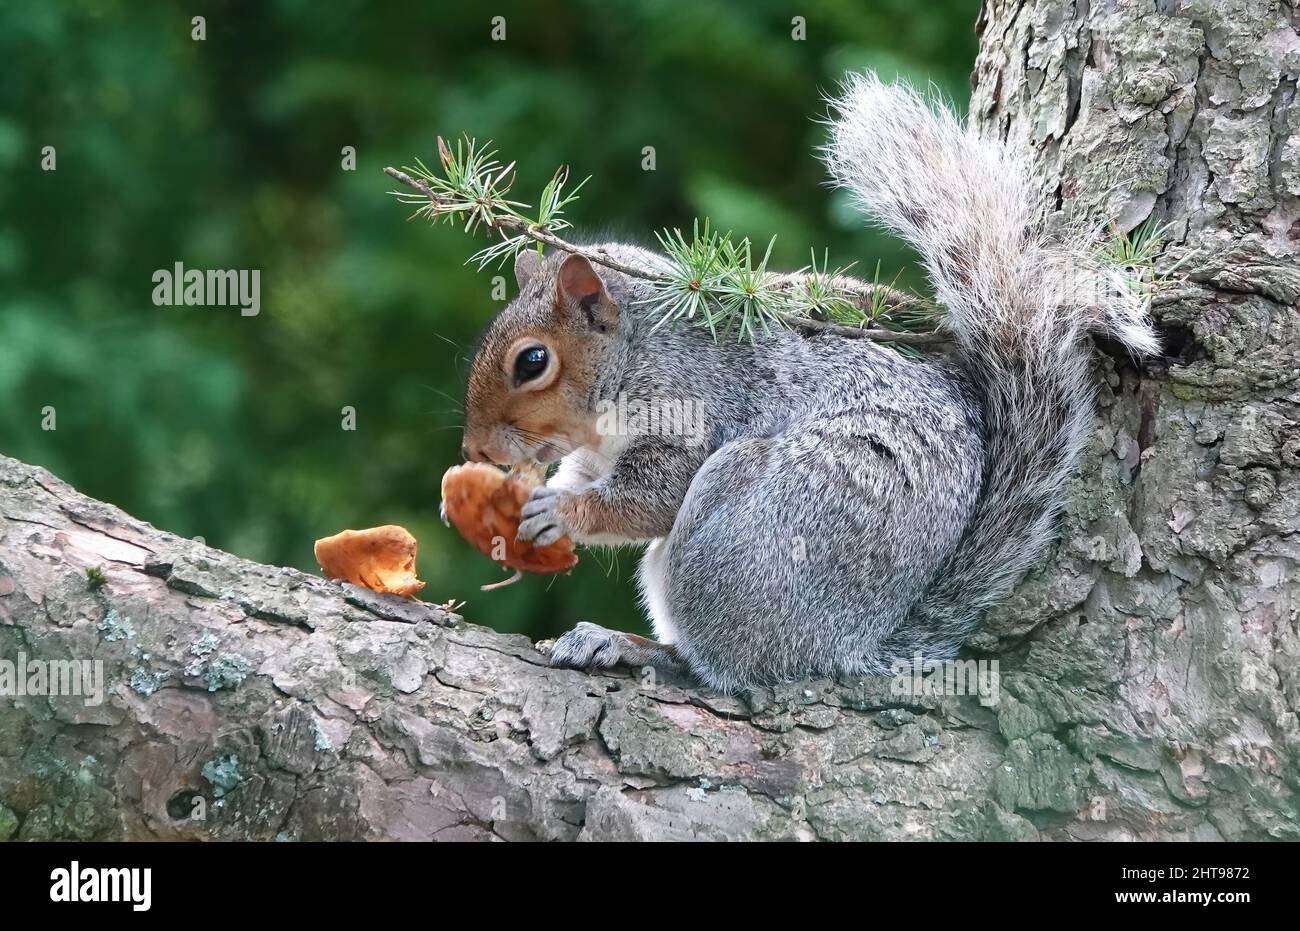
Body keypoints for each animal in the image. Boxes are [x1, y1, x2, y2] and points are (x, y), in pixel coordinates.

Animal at [459, 73, 1159, 692]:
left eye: (532, 362)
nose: (476, 450)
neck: (636, 353)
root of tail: (852, 643)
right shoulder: (593, 450)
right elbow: (581, 475)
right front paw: (526, 501)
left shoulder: (689, 404)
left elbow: (649, 498)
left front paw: (558, 512)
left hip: (746, 539)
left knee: (723, 667)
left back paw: (635, 648)